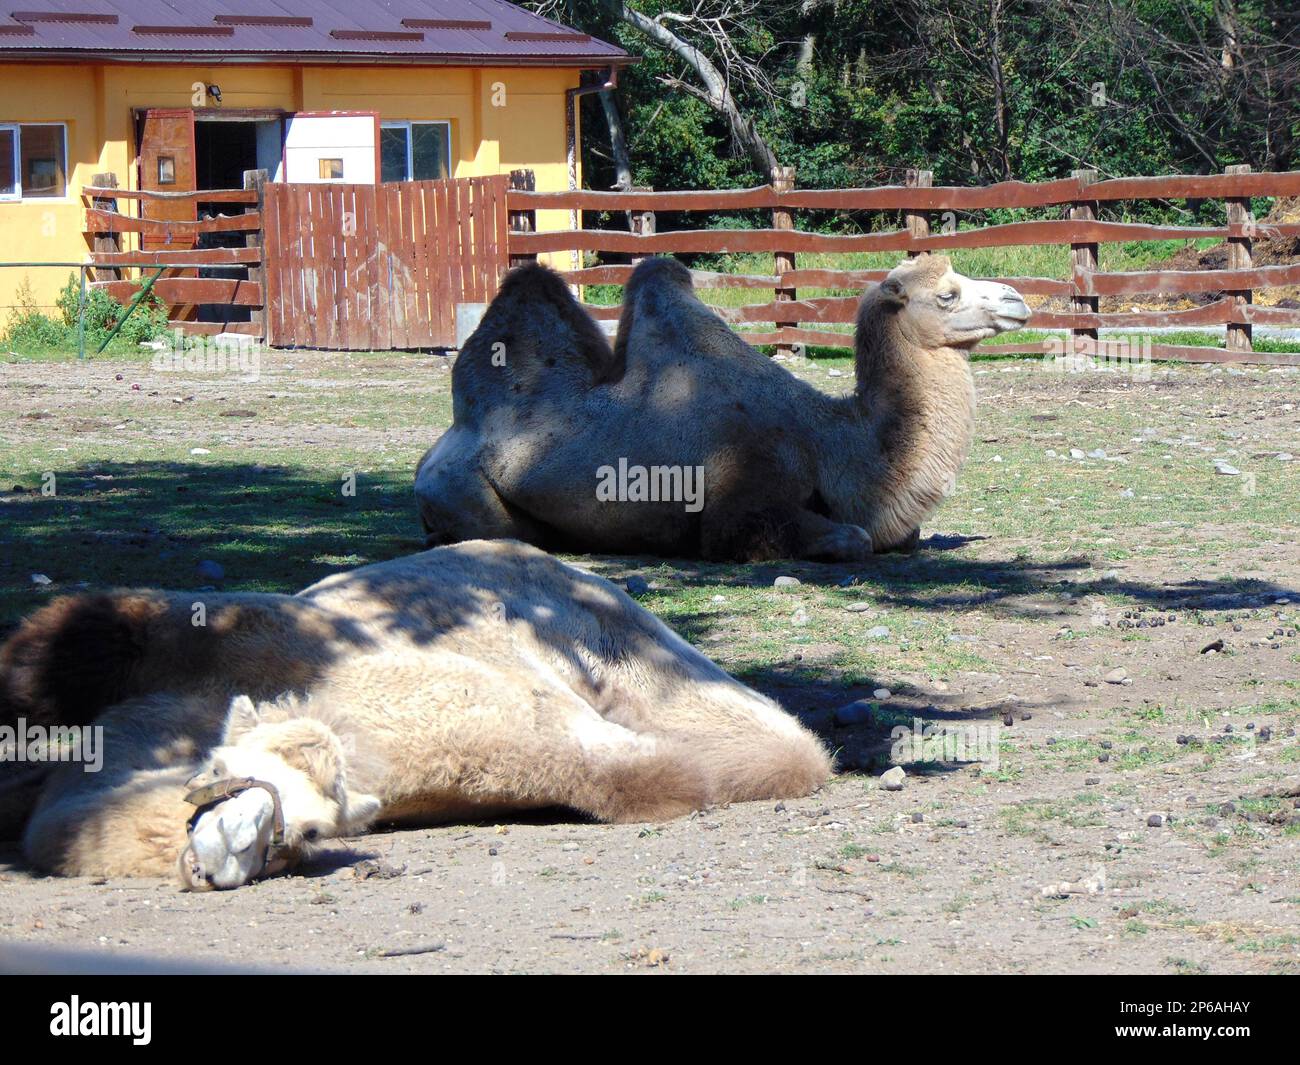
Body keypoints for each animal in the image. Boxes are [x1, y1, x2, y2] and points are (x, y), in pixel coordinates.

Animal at [415, 252, 1029, 561]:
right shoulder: (741, 507)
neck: (830, 442)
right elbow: (852, 539)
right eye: (946, 294)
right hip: (460, 488)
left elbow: (905, 535)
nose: (1017, 299)